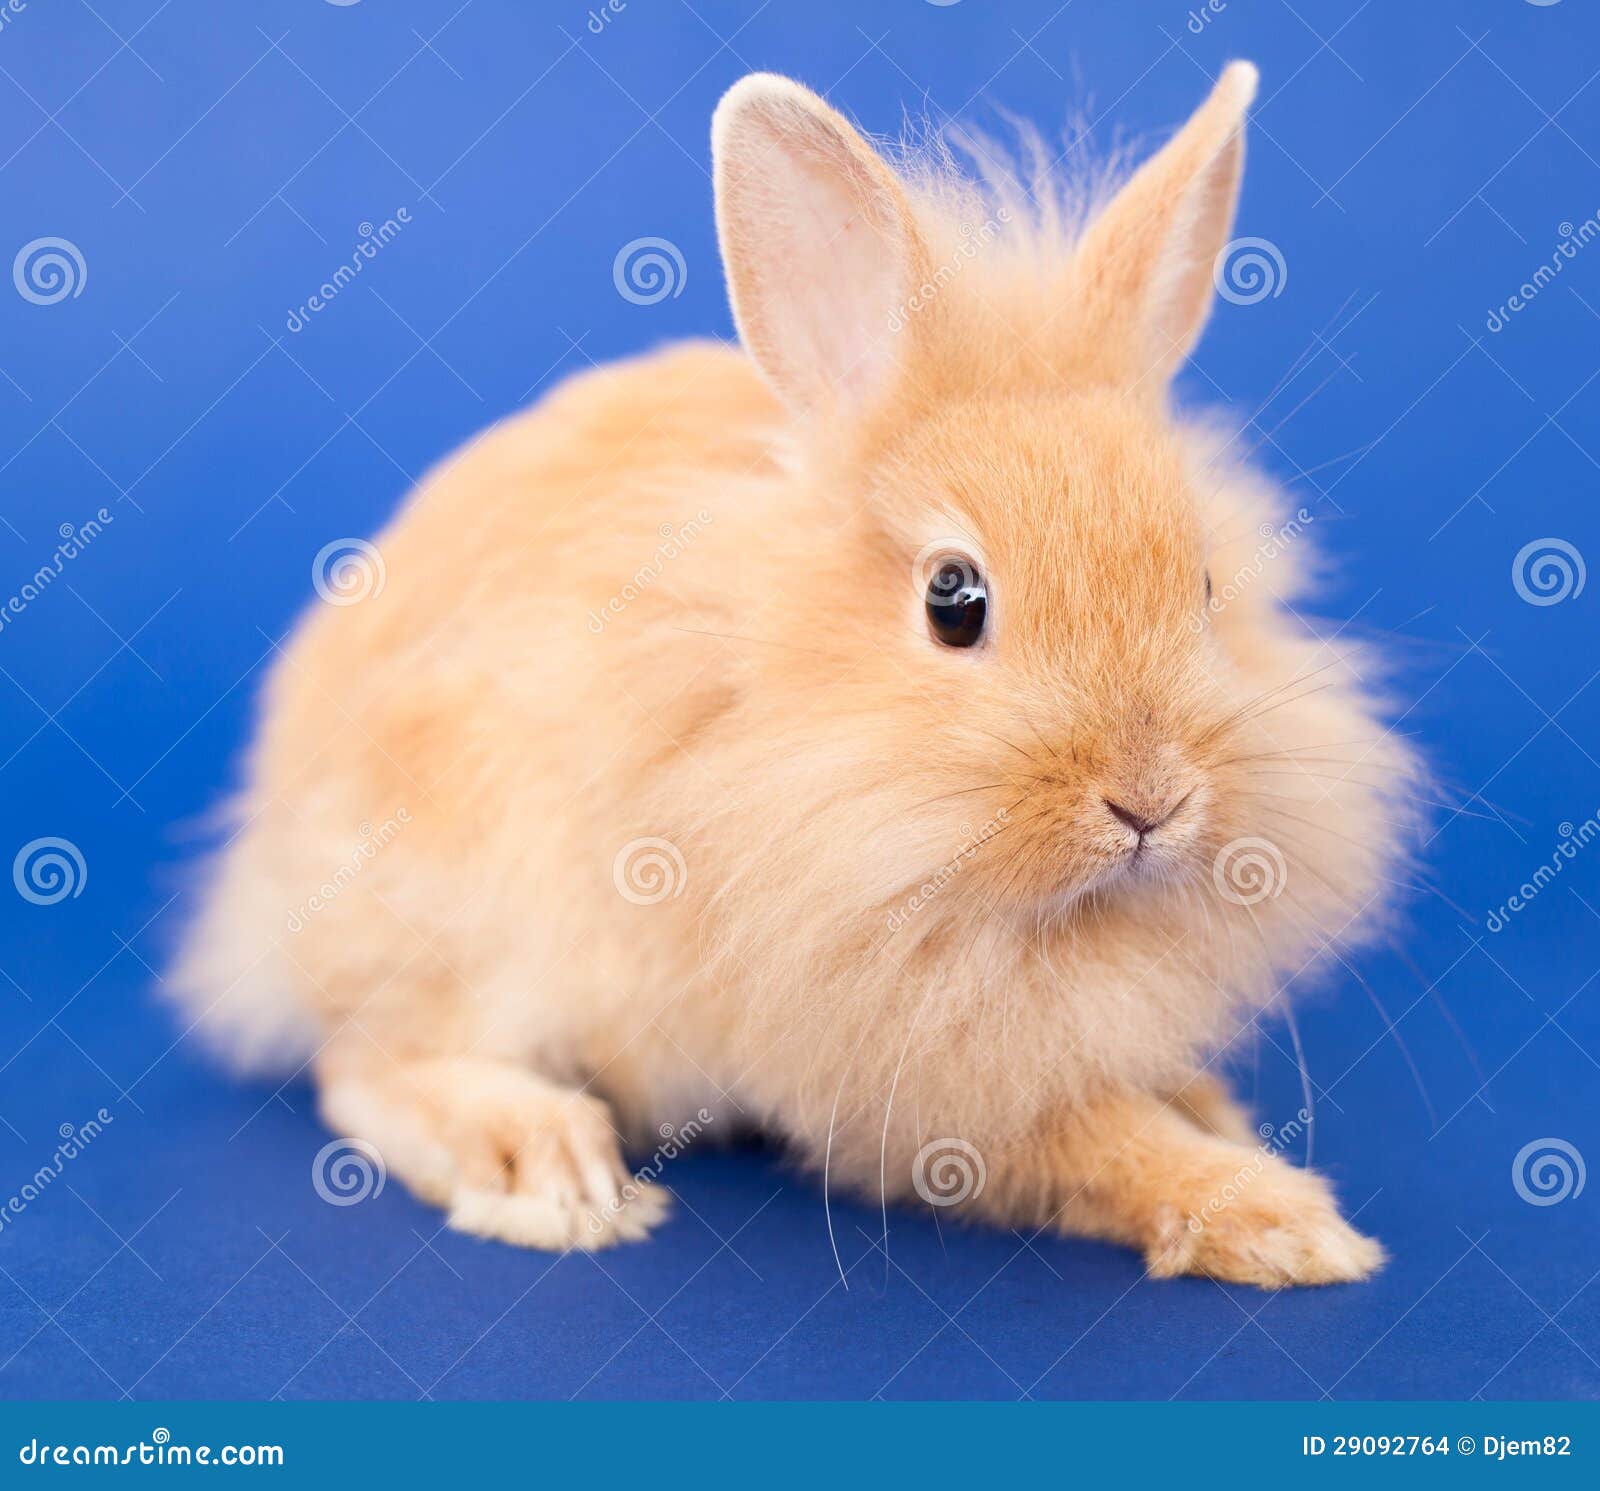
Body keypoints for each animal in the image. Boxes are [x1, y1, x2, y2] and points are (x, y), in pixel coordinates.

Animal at [172, 61, 1420, 1287]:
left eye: (1204, 584)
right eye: (954, 601)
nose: (1152, 802)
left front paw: (1223, 1123)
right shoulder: (907, 1080)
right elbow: (1091, 1138)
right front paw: (1287, 1223)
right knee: (365, 1061)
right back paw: (548, 1168)